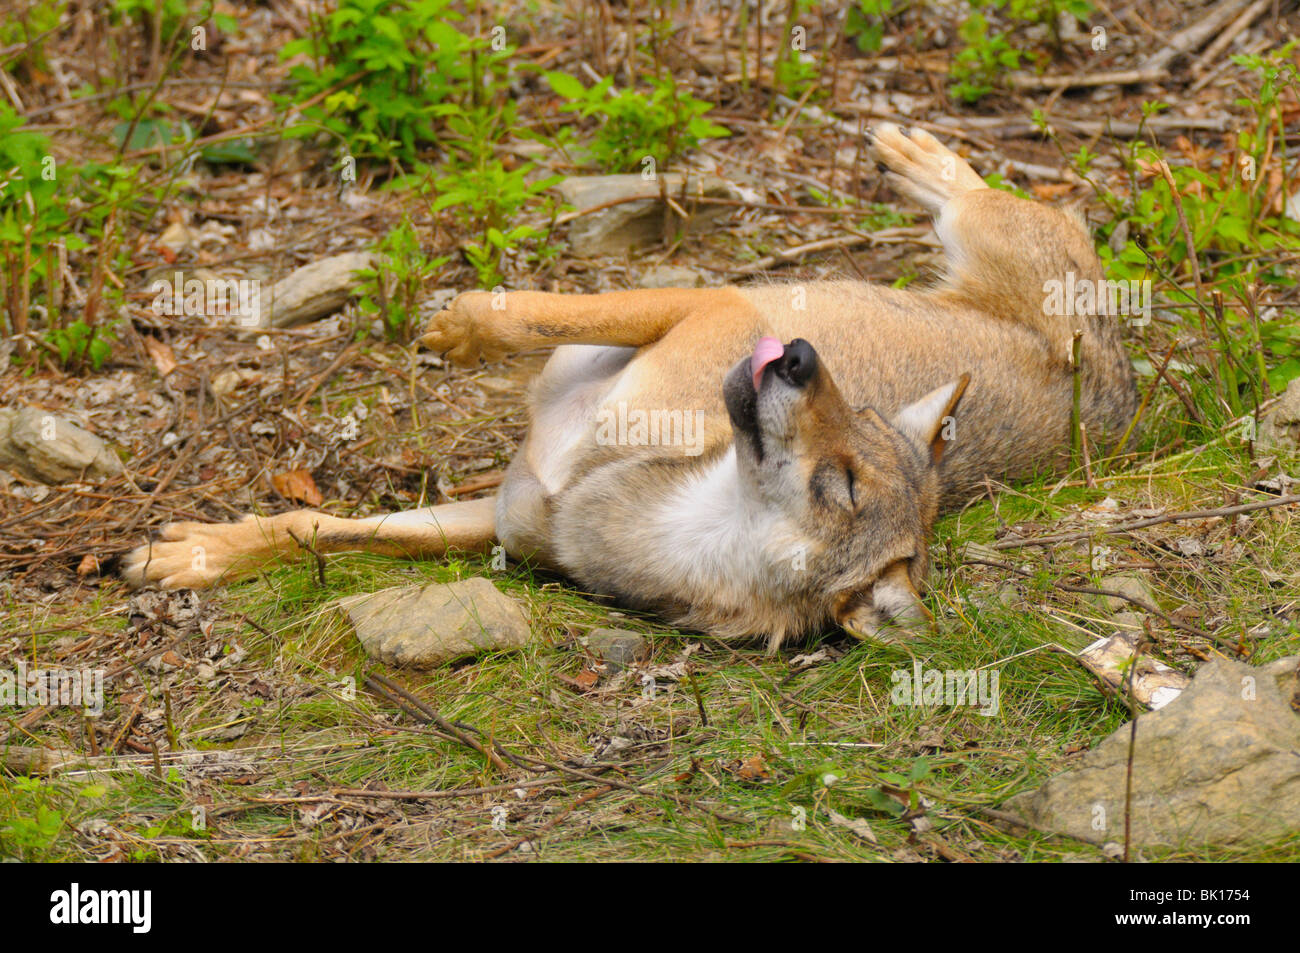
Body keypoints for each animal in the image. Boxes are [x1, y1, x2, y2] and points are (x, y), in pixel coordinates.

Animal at [122, 125, 1137, 650]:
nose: (798, 355)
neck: (614, 480)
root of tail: (1123, 401)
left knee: (999, 196)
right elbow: (315, 525)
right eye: (855, 408)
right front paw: (200, 553)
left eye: (845, 483)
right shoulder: (700, 308)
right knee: (986, 189)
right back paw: (909, 150)